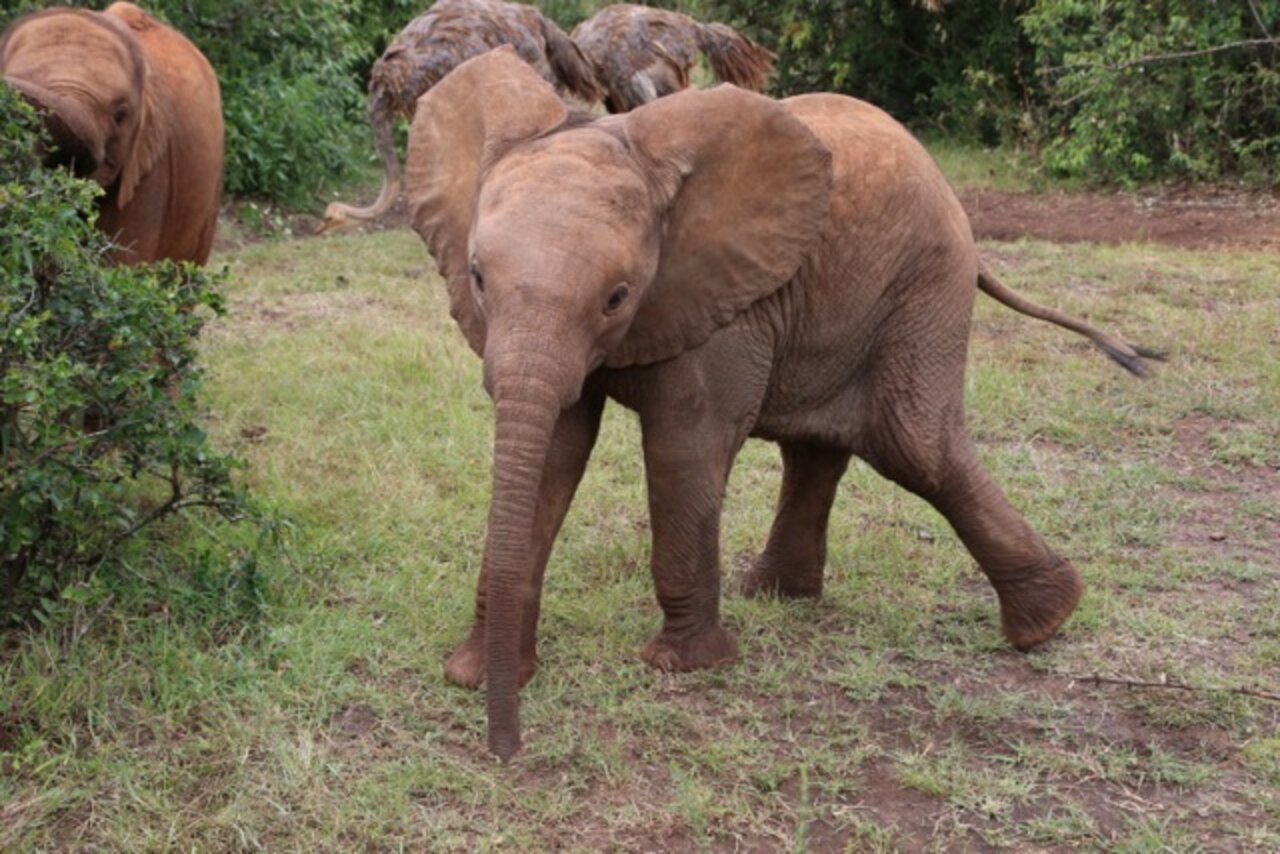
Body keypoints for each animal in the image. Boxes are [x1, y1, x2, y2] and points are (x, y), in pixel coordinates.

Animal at [405, 48, 1161, 759]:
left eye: (617, 296)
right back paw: (777, 594)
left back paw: (1046, 623)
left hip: (925, 283)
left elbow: (684, 446)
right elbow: (556, 451)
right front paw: (476, 673)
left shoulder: (725, 301)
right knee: (821, 449)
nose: (506, 747)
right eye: (476, 277)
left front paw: (684, 667)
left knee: (915, 447)